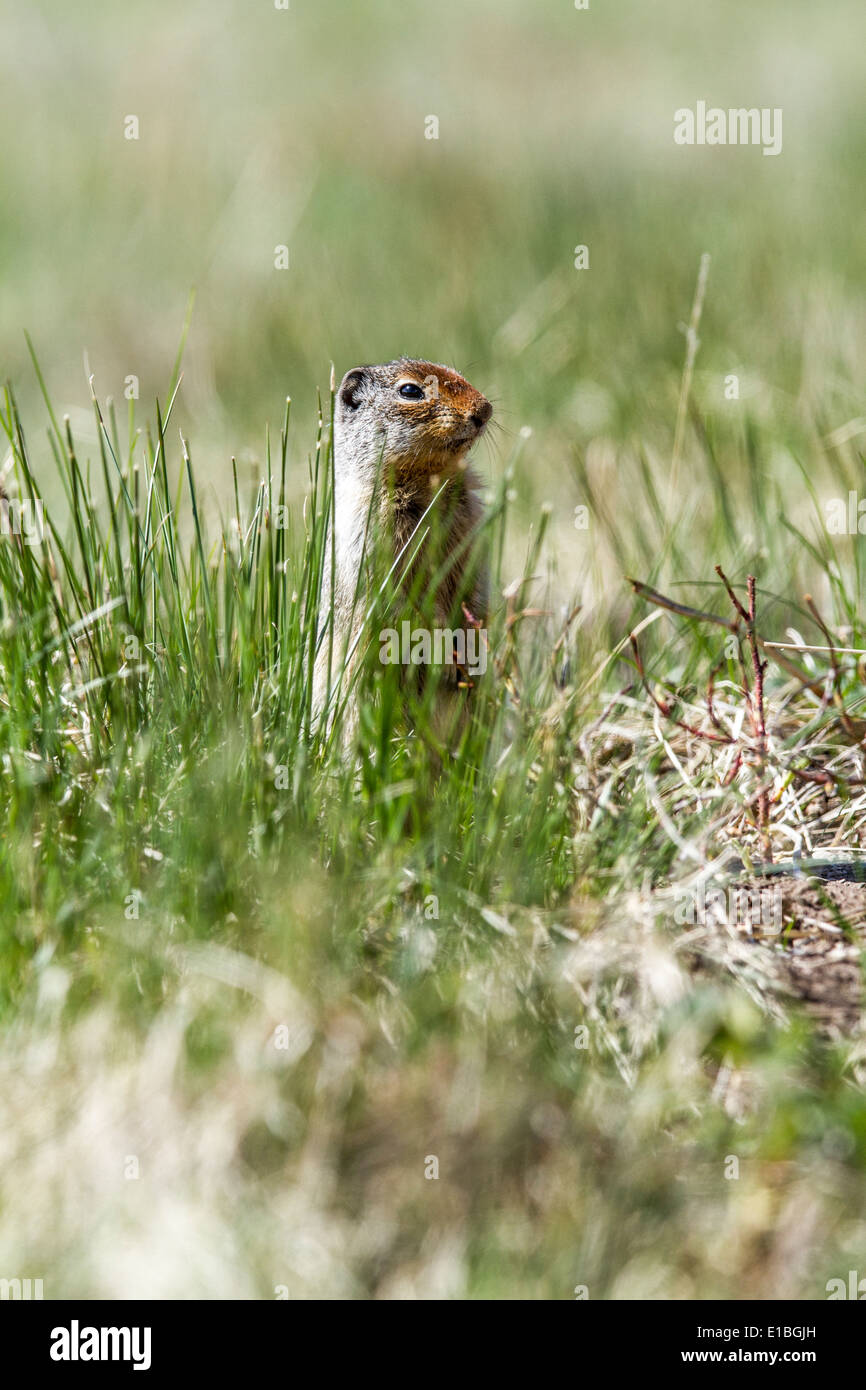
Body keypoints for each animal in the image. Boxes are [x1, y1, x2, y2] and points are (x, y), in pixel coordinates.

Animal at [313, 357, 493, 731]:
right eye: (410, 391)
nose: (485, 410)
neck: (427, 479)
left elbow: (473, 588)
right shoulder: (374, 543)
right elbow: (407, 605)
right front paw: (444, 655)